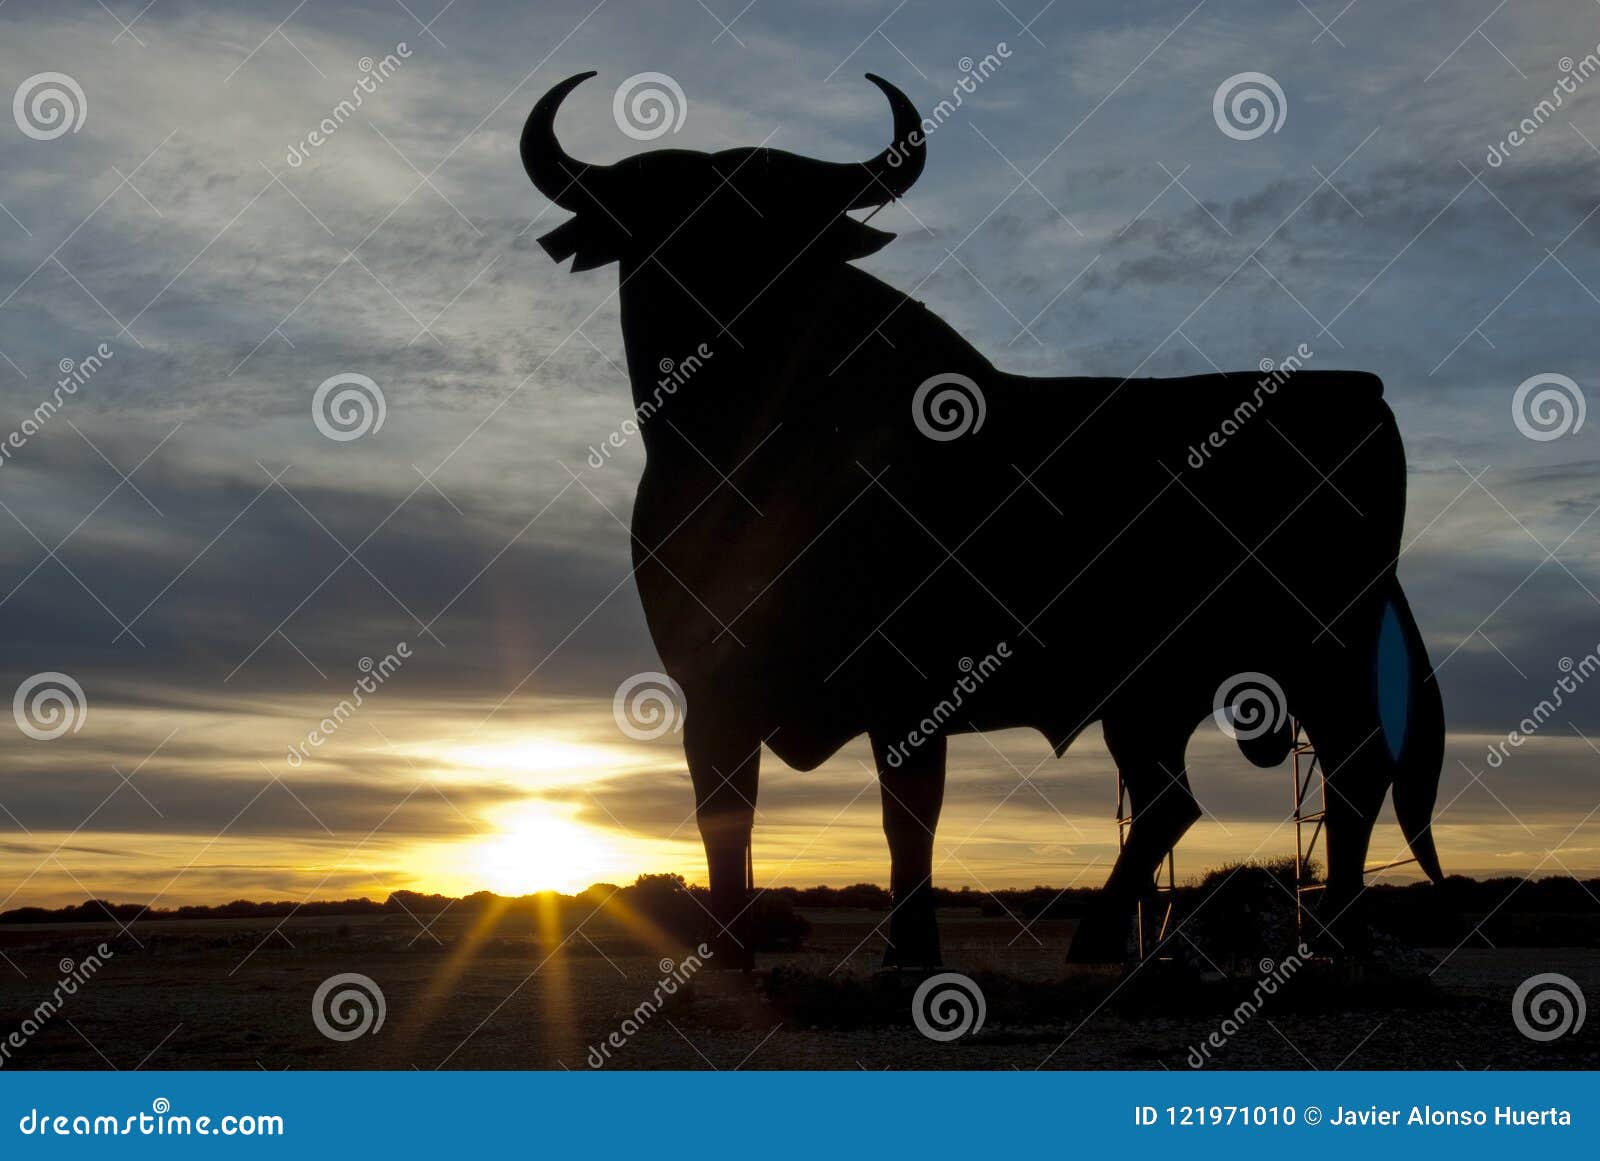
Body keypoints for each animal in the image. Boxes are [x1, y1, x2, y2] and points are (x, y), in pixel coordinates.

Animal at [520, 72, 1445, 968]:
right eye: (658, 226)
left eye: (790, 230)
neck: (753, 457)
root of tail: (1363, 390)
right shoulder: (709, 687)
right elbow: (726, 813)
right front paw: (730, 950)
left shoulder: (907, 685)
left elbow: (906, 817)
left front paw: (910, 951)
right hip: (1150, 694)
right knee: (1170, 801)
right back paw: (1101, 937)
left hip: (1324, 649)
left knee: (1352, 770)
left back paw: (1335, 935)